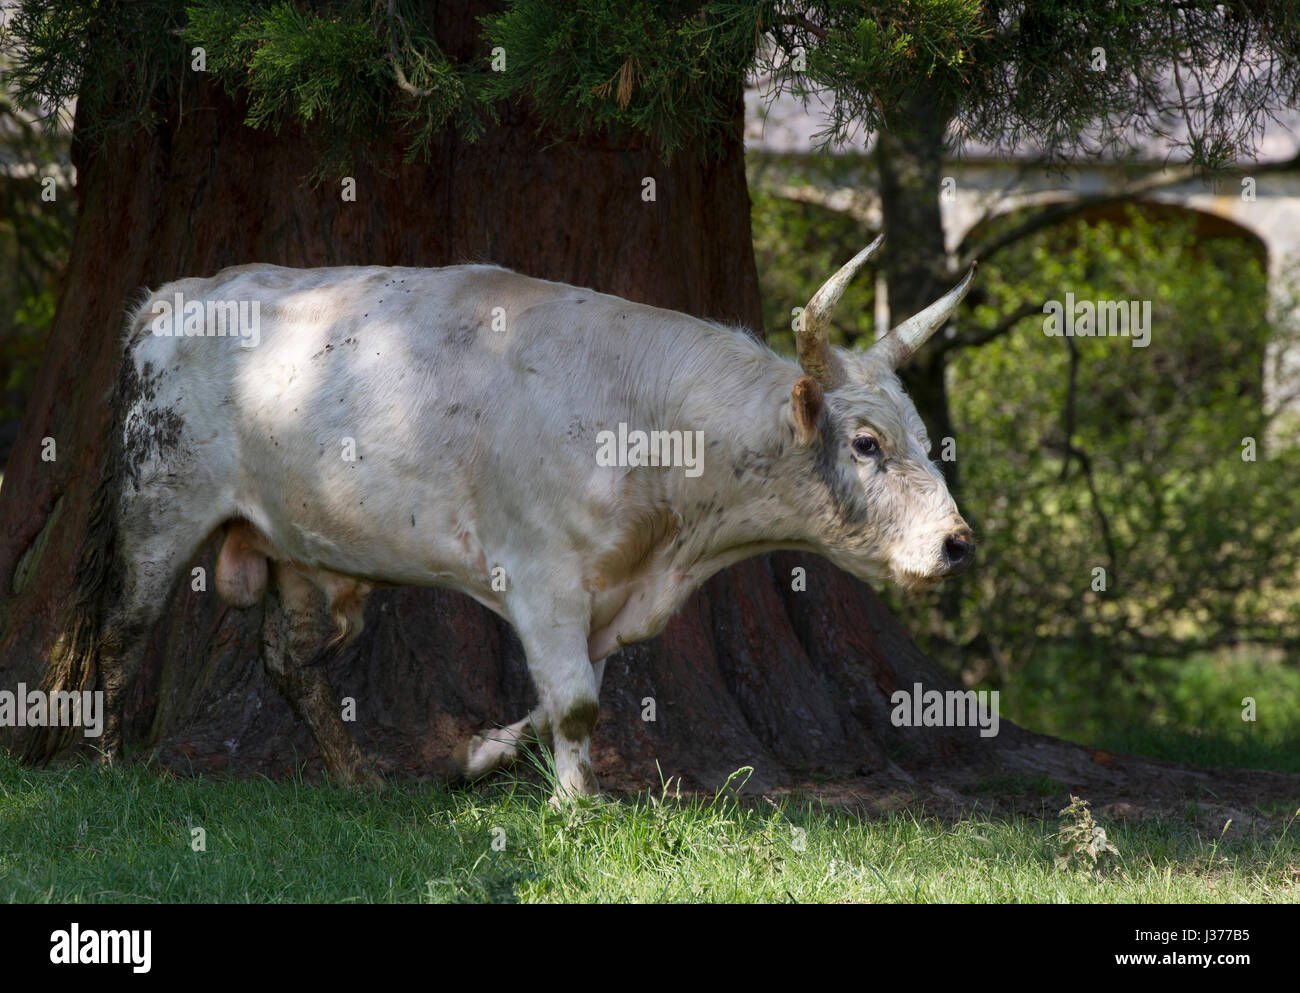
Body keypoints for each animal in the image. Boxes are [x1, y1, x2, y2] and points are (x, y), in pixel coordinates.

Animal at [33, 235, 976, 798]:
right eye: (865, 442)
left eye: (923, 436)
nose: (957, 543)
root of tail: (177, 295)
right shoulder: (541, 575)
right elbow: (577, 702)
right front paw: (572, 807)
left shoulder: (608, 592)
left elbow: (566, 698)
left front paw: (478, 756)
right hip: (158, 508)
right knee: (119, 633)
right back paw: (107, 764)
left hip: (302, 550)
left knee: (287, 659)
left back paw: (358, 778)